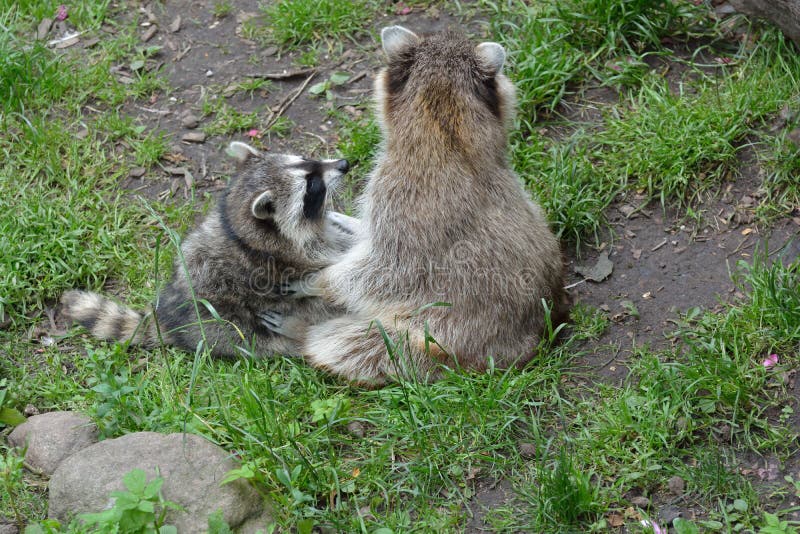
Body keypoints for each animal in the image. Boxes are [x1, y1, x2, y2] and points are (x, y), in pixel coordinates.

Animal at [61, 142, 359, 357]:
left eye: (306, 158)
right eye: (312, 185)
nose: (344, 164)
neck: (242, 233)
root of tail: (170, 320)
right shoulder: (296, 256)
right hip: (233, 327)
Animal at [268, 26, 568, 385]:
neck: (443, 129)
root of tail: (527, 347)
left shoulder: (399, 197)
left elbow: (385, 270)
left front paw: (320, 280)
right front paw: (350, 228)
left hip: (430, 346)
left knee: (352, 344)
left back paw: (303, 334)